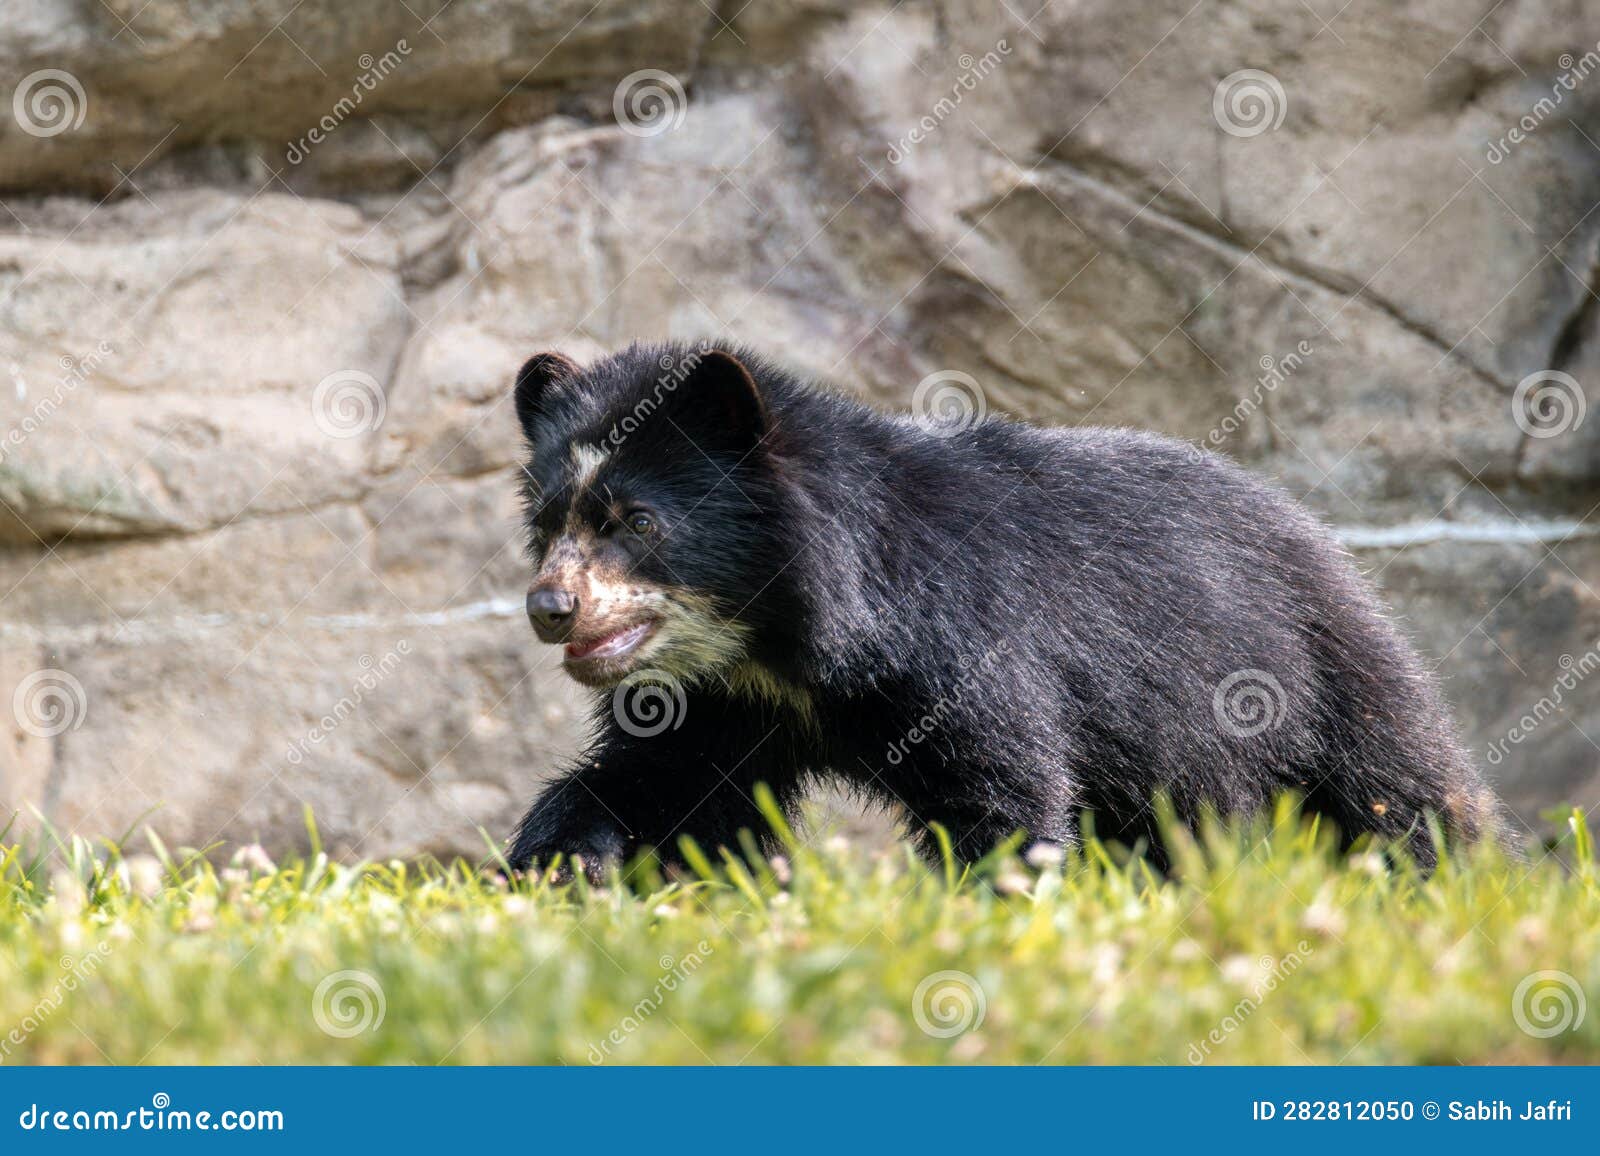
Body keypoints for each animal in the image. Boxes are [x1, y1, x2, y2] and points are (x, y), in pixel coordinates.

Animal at [505, 341, 1502, 879]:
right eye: (549, 521)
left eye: (637, 522)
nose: (551, 608)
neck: (777, 645)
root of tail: (1314, 530)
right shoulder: (719, 703)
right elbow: (666, 784)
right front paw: (566, 864)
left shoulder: (962, 645)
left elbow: (999, 785)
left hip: (1314, 668)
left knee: (1399, 788)